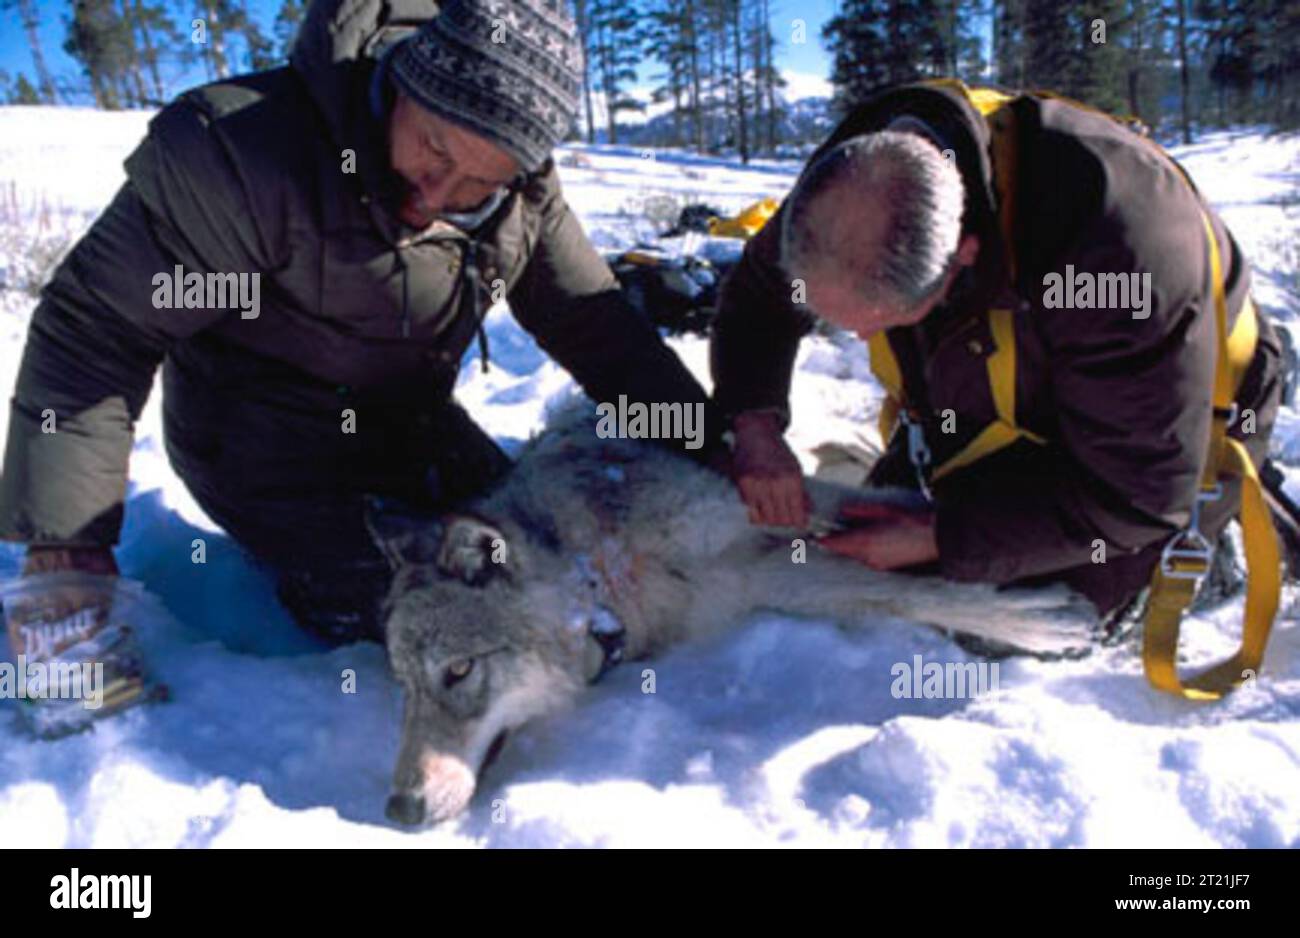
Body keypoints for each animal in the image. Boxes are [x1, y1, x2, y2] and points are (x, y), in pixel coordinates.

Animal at [371, 410, 1098, 827]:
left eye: (458, 671)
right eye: (402, 689)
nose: (399, 811)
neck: (601, 569)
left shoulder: (759, 523)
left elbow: (909, 553)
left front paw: (1043, 614)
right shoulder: (754, 576)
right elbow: (891, 585)